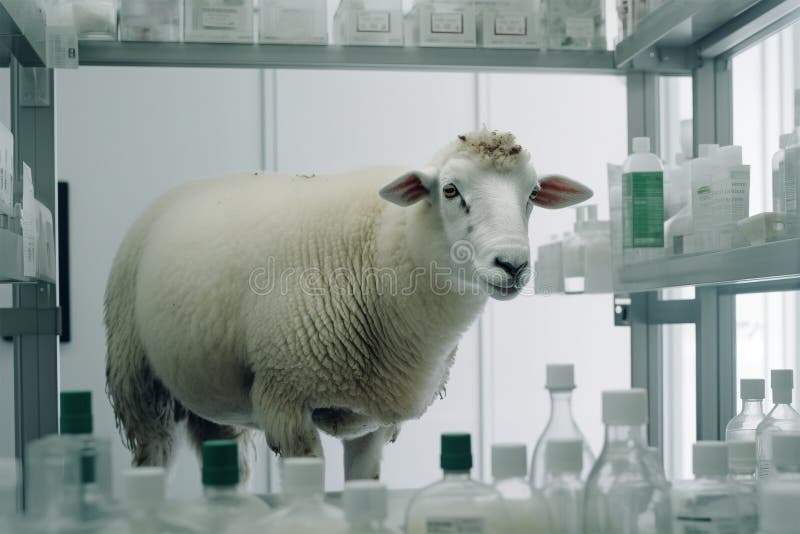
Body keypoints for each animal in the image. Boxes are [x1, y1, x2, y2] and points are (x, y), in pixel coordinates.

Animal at [105, 129, 592, 481]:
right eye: (451, 190)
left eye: (533, 194)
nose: (513, 265)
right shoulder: (285, 398)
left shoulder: (374, 421)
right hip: (135, 374)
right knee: (153, 452)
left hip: (213, 395)